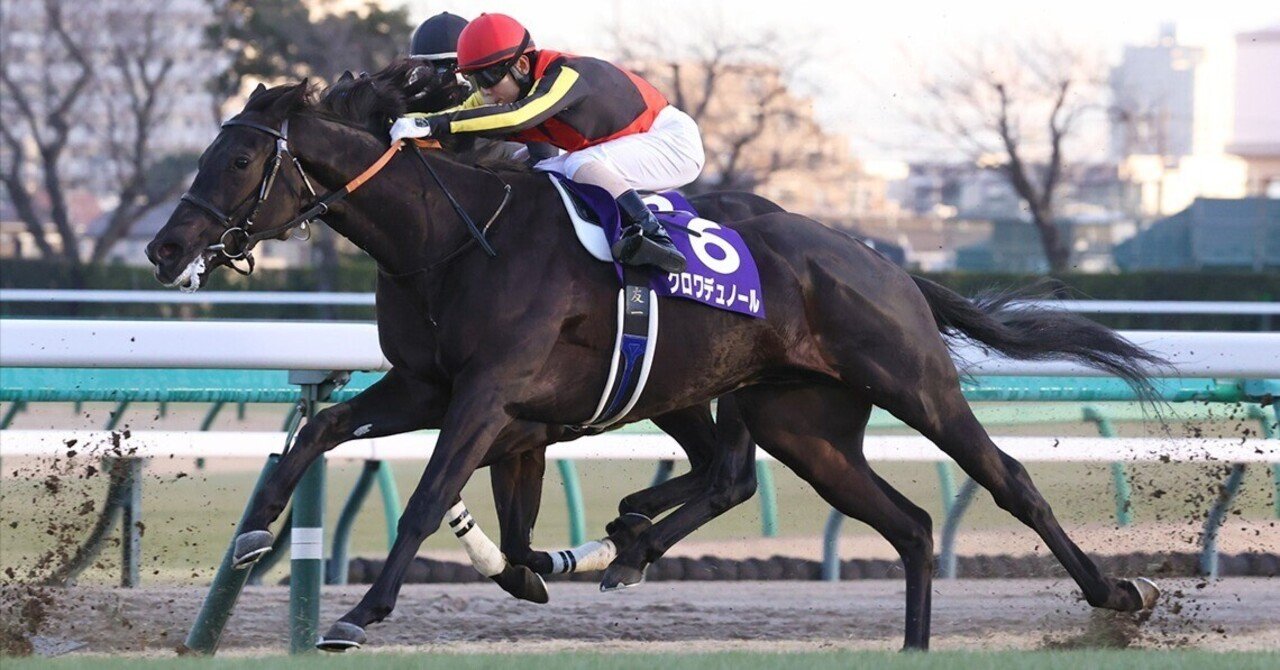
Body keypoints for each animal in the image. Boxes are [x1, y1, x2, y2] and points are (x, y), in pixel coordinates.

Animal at [147, 71, 1164, 652]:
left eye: (238, 161)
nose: (165, 249)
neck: (450, 239)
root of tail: (884, 262)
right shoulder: (433, 388)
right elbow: (321, 430)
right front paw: (255, 535)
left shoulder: (487, 395)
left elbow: (431, 498)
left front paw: (361, 615)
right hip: (801, 423)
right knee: (899, 522)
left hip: (911, 384)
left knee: (1008, 482)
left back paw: (1119, 592)